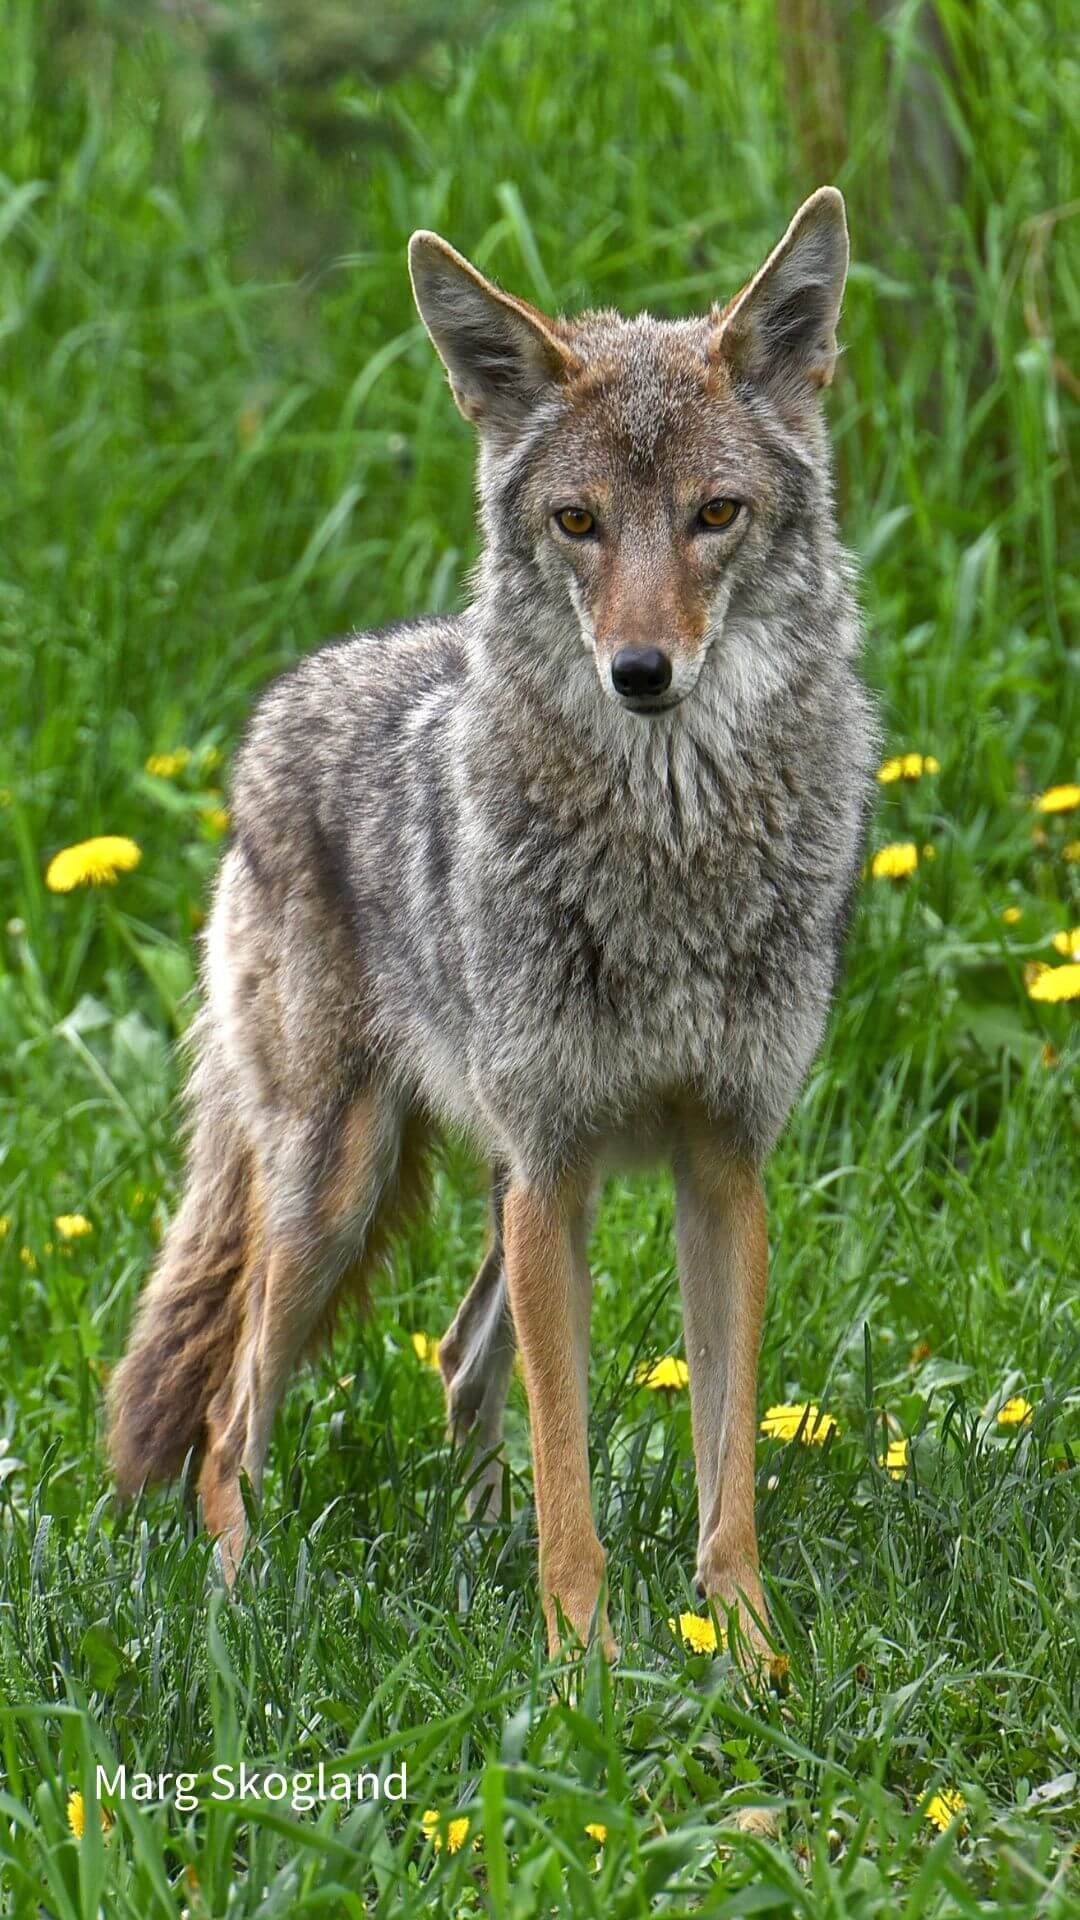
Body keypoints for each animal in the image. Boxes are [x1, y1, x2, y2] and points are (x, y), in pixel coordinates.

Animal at [108, 187, 877, 1659]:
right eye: (578, 520)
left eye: (715, 514)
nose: (641, 672)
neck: (667, 854)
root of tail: (279, 707)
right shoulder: (557, 1169)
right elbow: (573, 1475)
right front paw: (583, 1670)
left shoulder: (722, 1167)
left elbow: (726, 1467)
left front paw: (751, 1662)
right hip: (340, 1188)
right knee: (231, 1416)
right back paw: (242, 1610)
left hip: (478, 1196)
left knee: (461, 1362)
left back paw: (469, 1554)